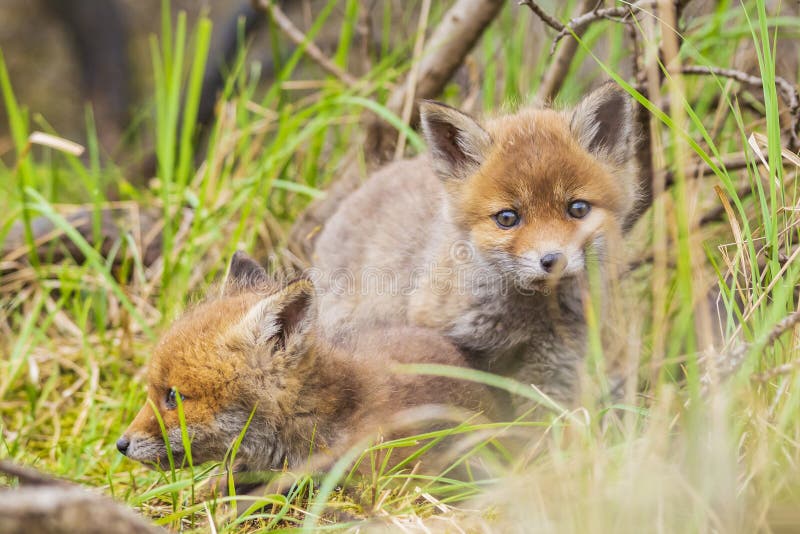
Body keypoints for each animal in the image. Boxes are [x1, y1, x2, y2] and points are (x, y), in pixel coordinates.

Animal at [312, 82, 639, 411]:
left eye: (578, 209)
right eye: (507, 218)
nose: (552, 260)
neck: (526, 316)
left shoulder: (554, 361)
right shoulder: (448, 342)